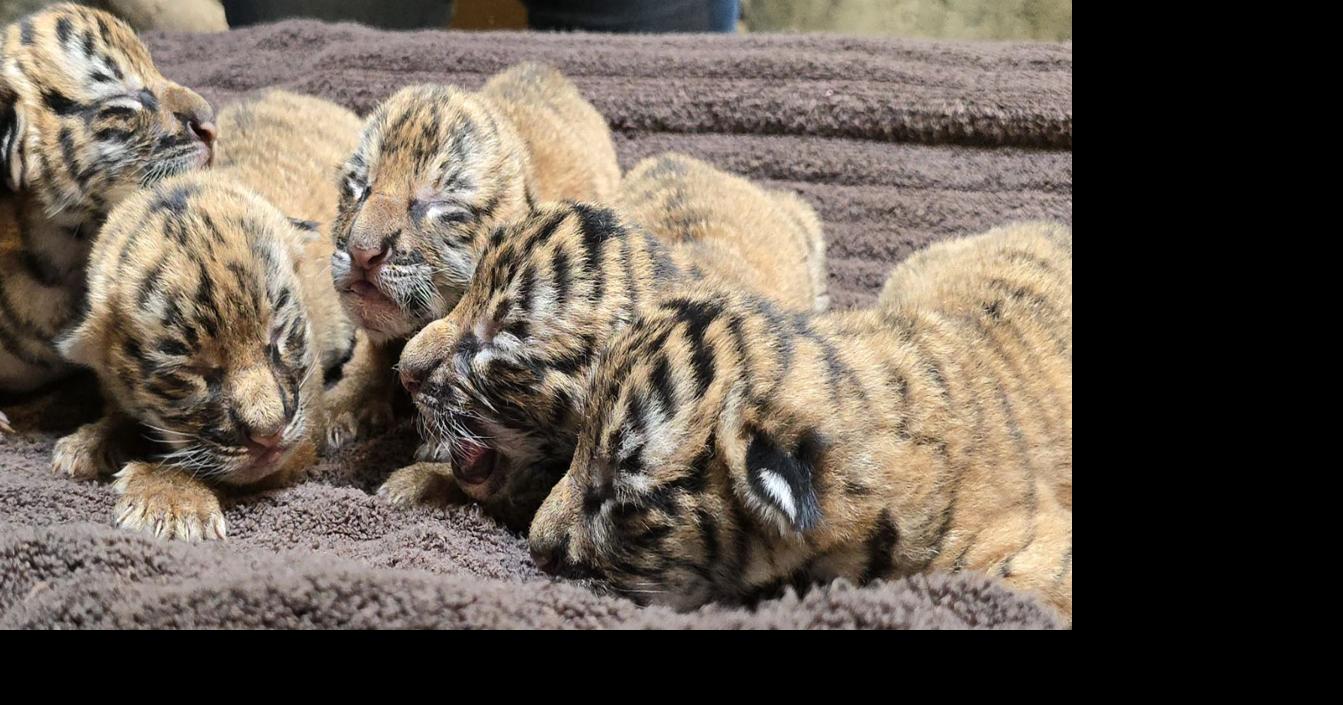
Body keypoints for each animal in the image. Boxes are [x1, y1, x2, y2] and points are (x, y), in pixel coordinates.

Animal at [50, 91, 368, 540]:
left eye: (276, 340)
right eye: (193, 372)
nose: (269, 434)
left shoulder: (302, 431)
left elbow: (227, 470)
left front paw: (167, 498)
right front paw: (87, 443)